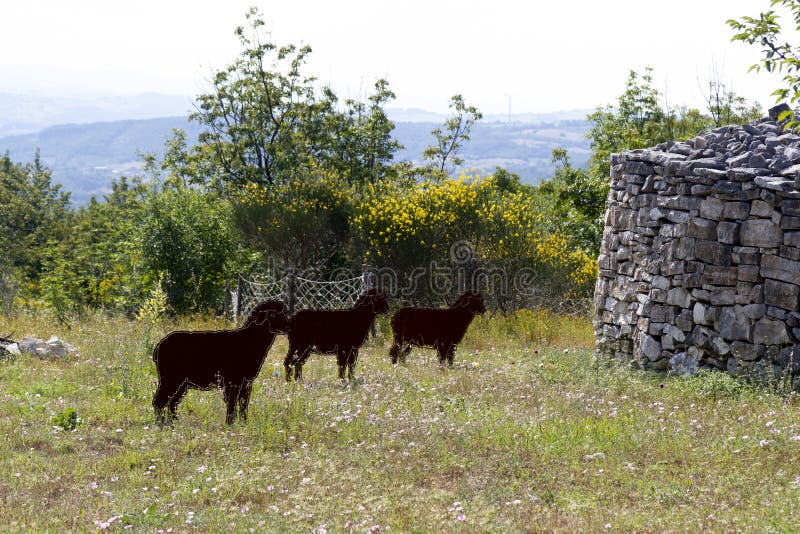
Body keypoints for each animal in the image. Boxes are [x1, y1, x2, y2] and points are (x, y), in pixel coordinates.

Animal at [152, 300, 289, 425]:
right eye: (272, 315)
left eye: (284, 313)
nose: (288, 326)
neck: (249, 340)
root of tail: (159, 346)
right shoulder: (233, 381)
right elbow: (232, 404)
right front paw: (230, 425)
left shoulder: (247, 382)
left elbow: (243, 405)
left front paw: (244, 425)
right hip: (171, 377)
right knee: (159, 401)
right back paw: (161, 424)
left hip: (182, 382)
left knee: (171, 402)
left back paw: (174, 424)